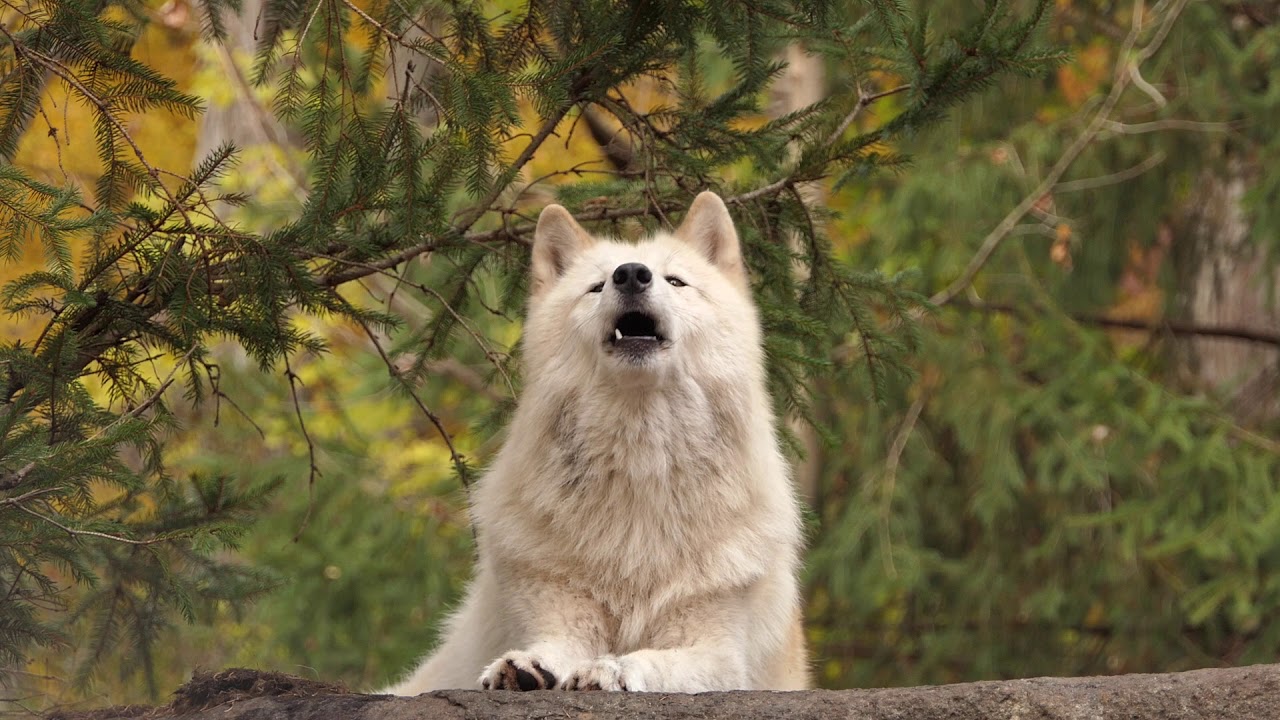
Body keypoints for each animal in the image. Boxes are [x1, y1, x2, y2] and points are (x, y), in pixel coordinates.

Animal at [383, 192, 808, 693]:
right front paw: (527, 666)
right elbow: (557, 644)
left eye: (676, 281)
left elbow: (656, 660)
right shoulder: (555, 604)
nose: (631, 274)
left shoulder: (719, 655)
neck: (639, 467)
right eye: (596, 285)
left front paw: (611, 669)